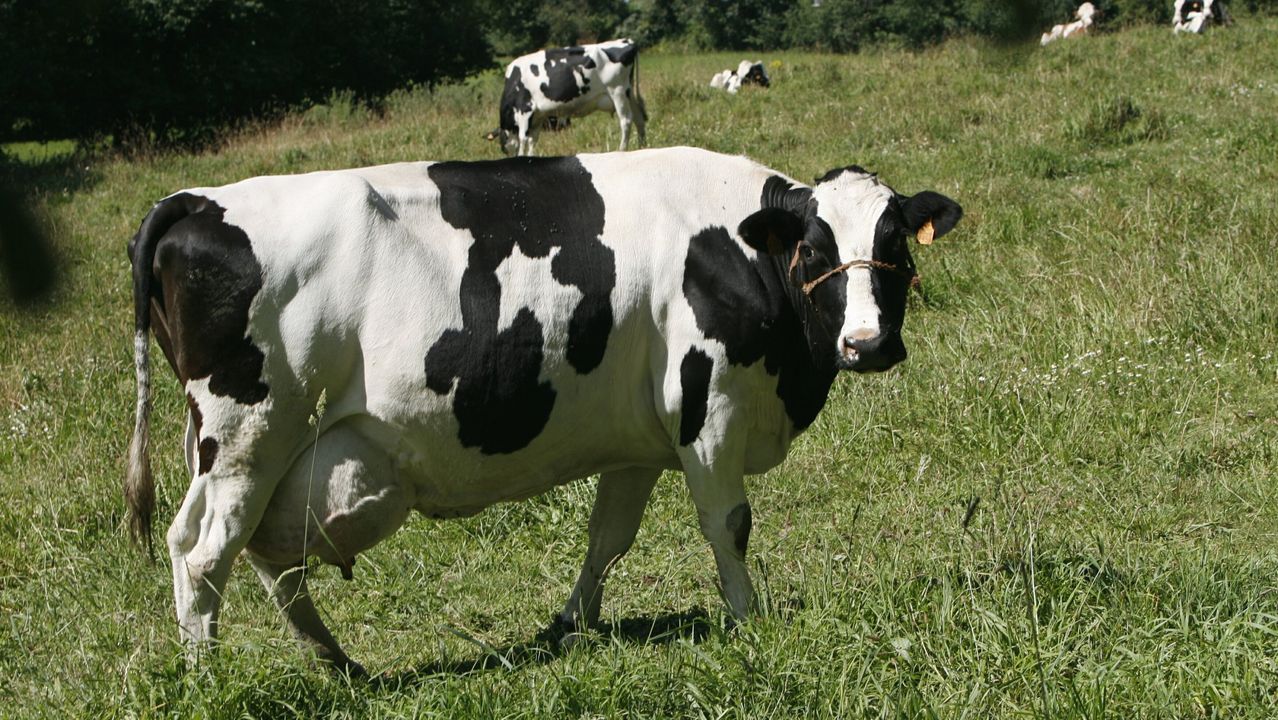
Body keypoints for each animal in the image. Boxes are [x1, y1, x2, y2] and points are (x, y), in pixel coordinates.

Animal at [126, 147, 962, 673]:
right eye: (816, 250)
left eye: (897, 245)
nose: (868, 343)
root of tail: (194, 201)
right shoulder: (710, 406)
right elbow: (728, 524)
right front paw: (748, 619)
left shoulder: (639, 437)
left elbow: (609, 536)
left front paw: (569, 624)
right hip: (249, 432)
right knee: (204, 554)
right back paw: (208, 677)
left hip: (253, 446)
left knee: (257, 550)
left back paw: (337, 663)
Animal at [490, 38, 646, 157]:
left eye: (503, 148)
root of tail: (626, 41)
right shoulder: (538, 117)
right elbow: (532, 141)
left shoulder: (524, 109)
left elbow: (523, 139)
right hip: (629, 92)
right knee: (639, 118)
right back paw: (642, 147)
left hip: (617, 91)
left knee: (626, 120)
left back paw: (622, 150)